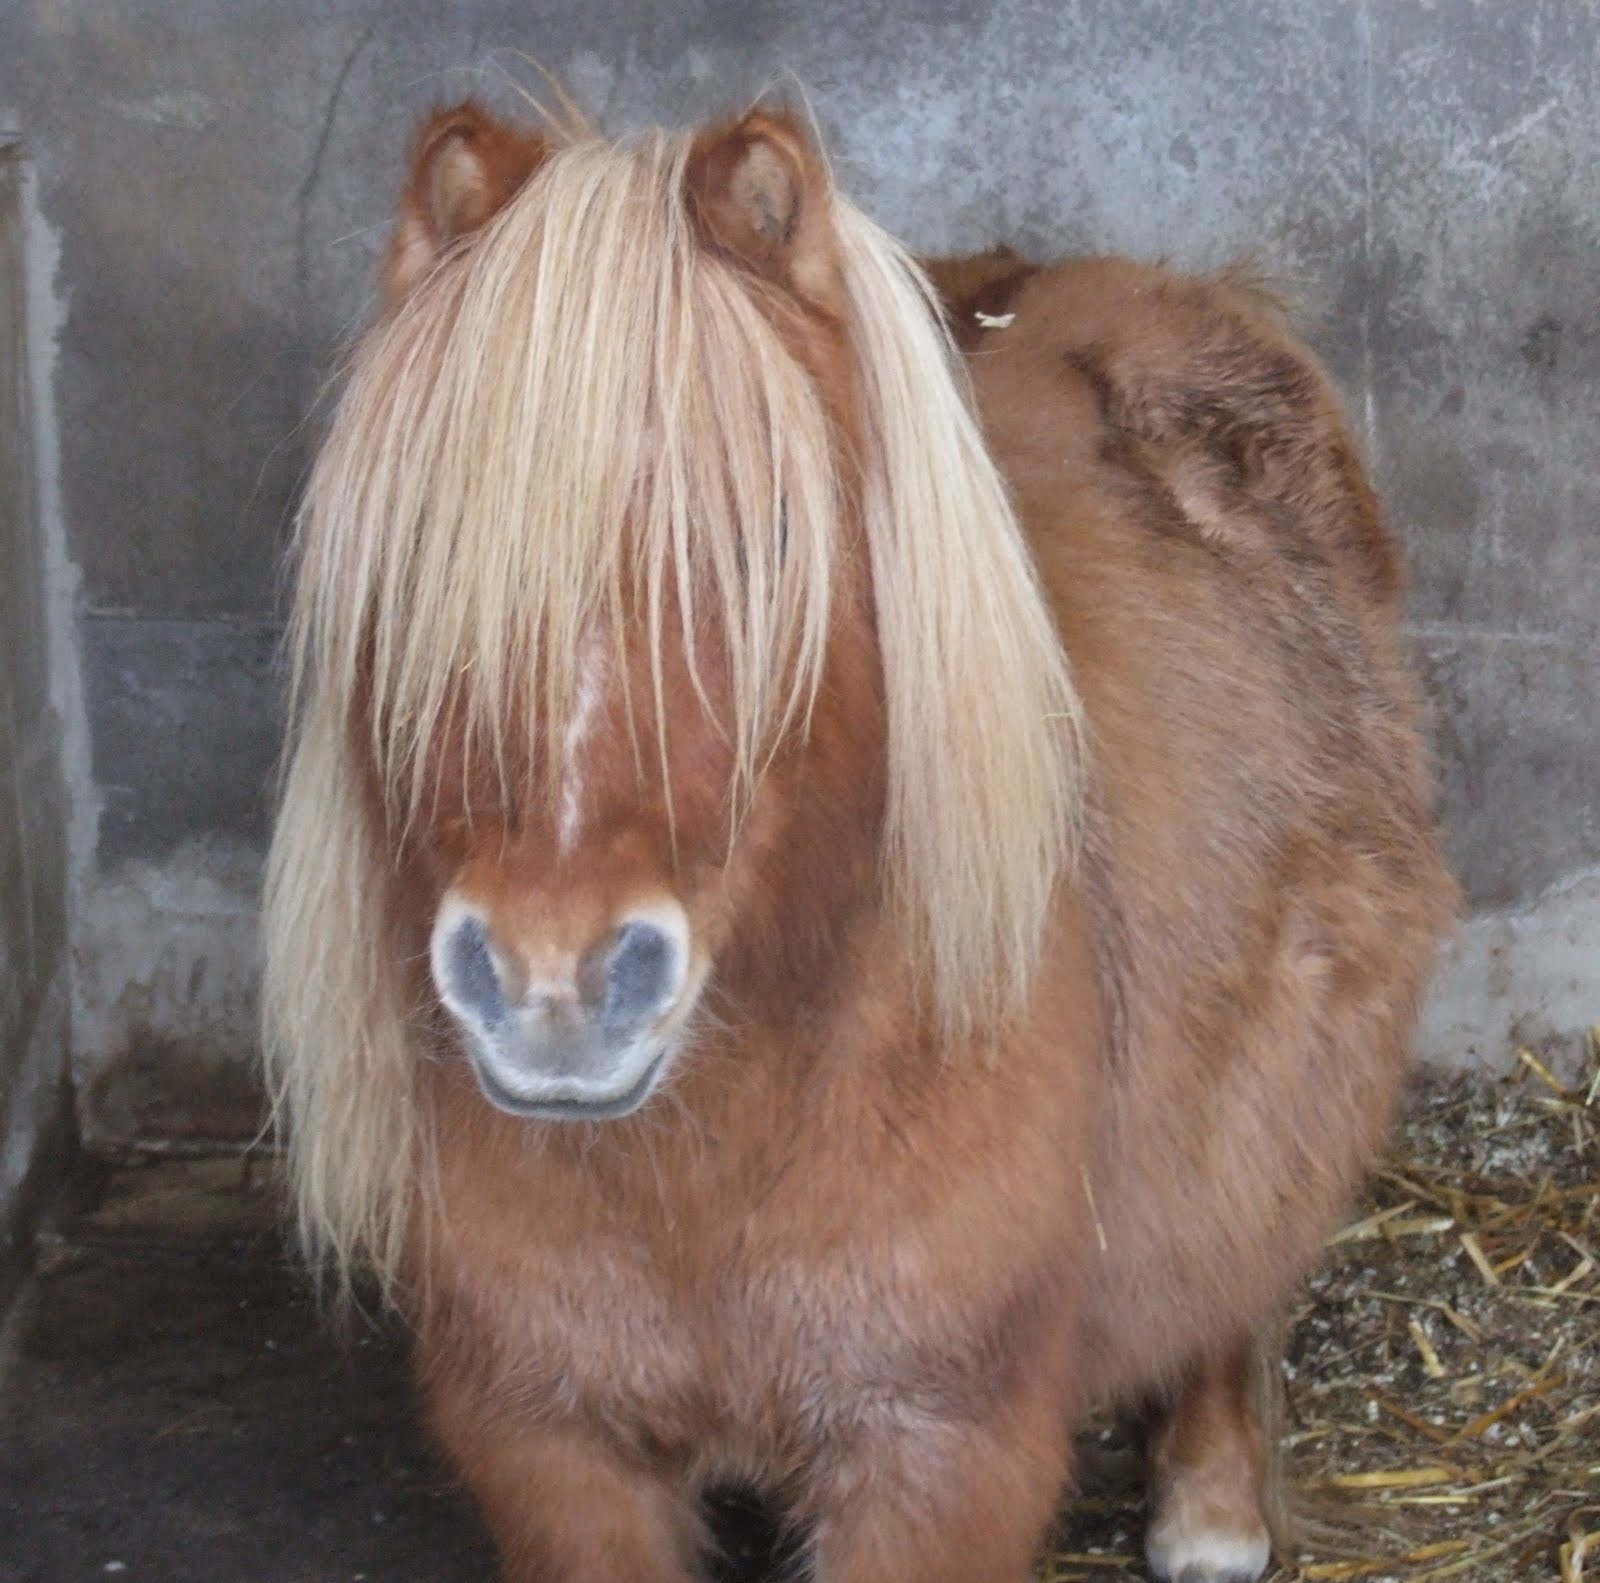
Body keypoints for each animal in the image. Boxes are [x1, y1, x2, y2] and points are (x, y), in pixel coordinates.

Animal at [263, 99, 1456, 1583]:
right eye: (425, 542)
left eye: (773, 534)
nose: (554, 985)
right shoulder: (553, 1442)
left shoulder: (937, 1453)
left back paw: (1211, 1504)